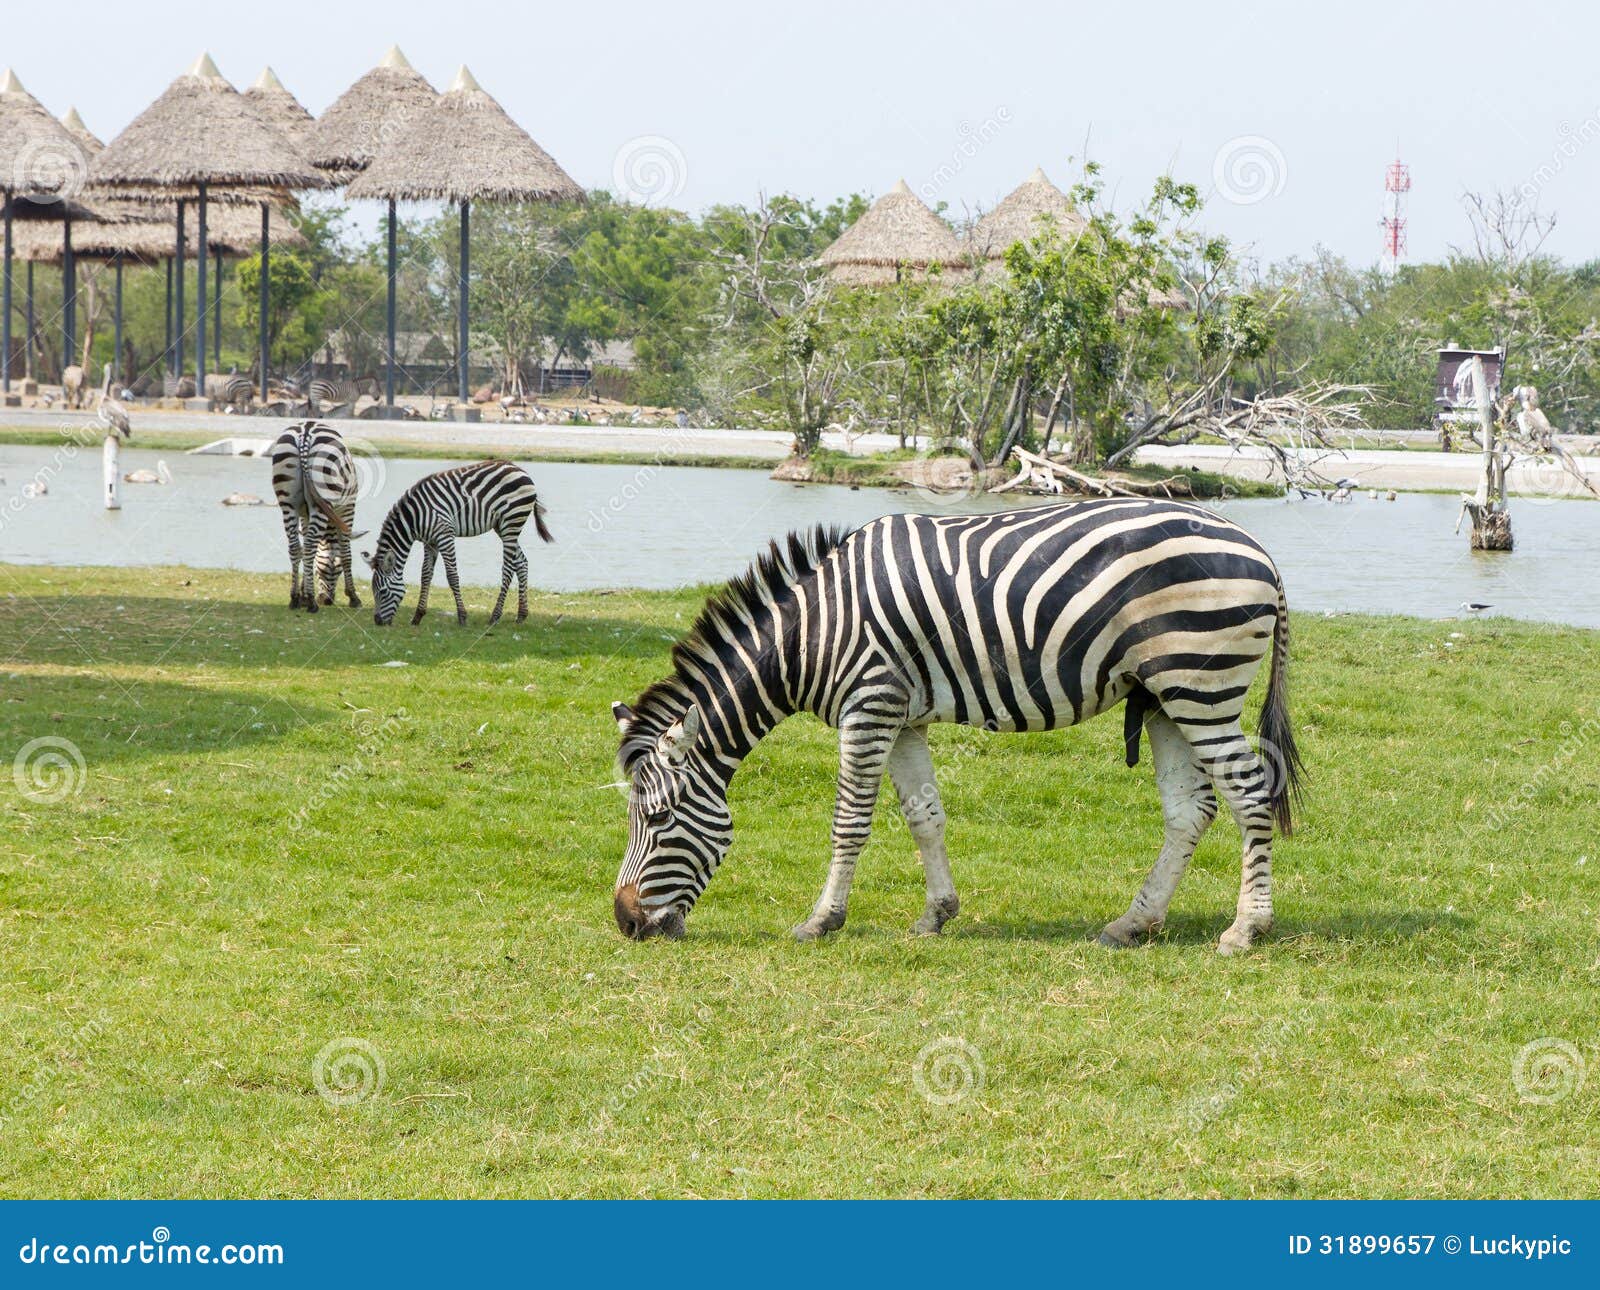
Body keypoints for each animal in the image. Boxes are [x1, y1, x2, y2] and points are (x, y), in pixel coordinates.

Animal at [268, 421, 365, 612]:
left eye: (335, 571)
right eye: (323, 571)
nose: (326, 600)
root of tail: (306, 431)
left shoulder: (304, 514)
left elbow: (307, 548)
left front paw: (303, 593)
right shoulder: (348, 509)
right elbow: (346, 554)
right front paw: (353, 597)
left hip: (287, 502)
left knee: (296, 547)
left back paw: (294, 598)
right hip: (322, 499)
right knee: (310, 545)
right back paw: (312, 603)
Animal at [364, 459, 553, 627]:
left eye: (382, 592)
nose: (378, 622)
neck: (414, 517)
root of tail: (521, 470)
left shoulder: (445, 535)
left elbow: (452, 576)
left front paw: (462, 617)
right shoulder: (430, 542)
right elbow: (425, 575)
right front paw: (418, 616)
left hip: (511, 522)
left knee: (507, 569)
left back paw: (495, 616)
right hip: (502, 526)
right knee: (521, 562)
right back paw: (521, 615)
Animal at [611, 499, 1304, 955]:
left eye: (659, 818)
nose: (624, 923)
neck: (810, 638)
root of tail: (1261, 549)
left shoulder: (869, 703)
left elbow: (849, 822)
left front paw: (821, 920)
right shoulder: (903, 717)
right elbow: (925, 815)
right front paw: (936, 915)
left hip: (1200, 685)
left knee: (1249, 793)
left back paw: (1246, 929)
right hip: (1162, 695)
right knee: (1190, 810)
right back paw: (1132, 924)